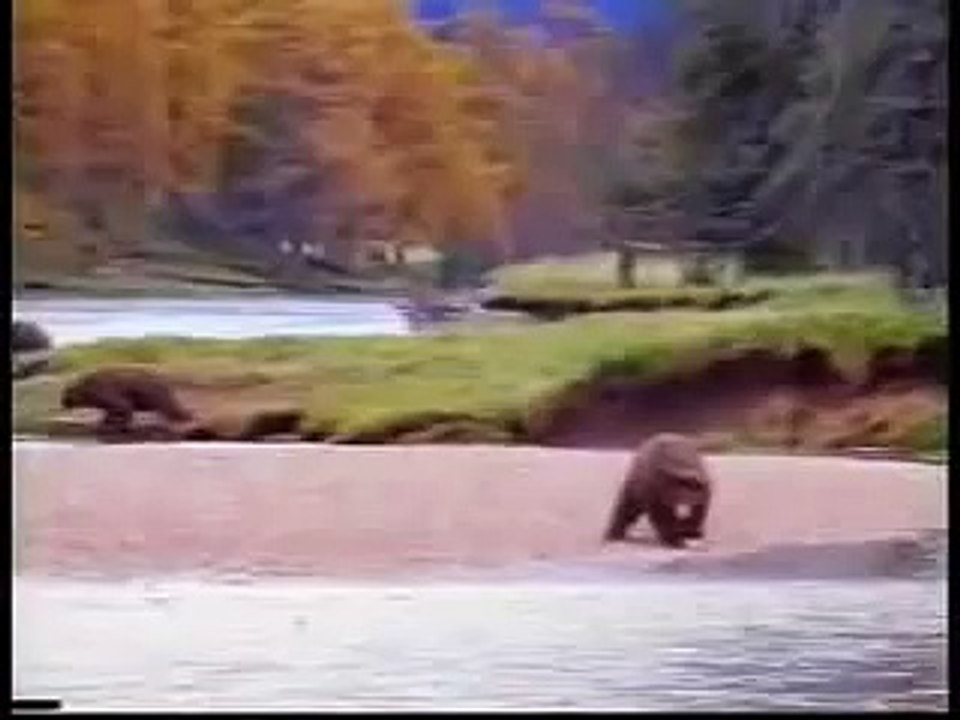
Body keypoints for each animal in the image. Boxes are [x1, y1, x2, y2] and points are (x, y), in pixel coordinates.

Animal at [60, 367, 194, 436]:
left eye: (65, 396)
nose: (62, 403)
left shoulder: (117, 400)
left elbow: (124, 411)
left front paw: (121, 426)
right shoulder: (110, 404)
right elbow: (110, 414)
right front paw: (107, 422)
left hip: (158, 399)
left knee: (171, 412)